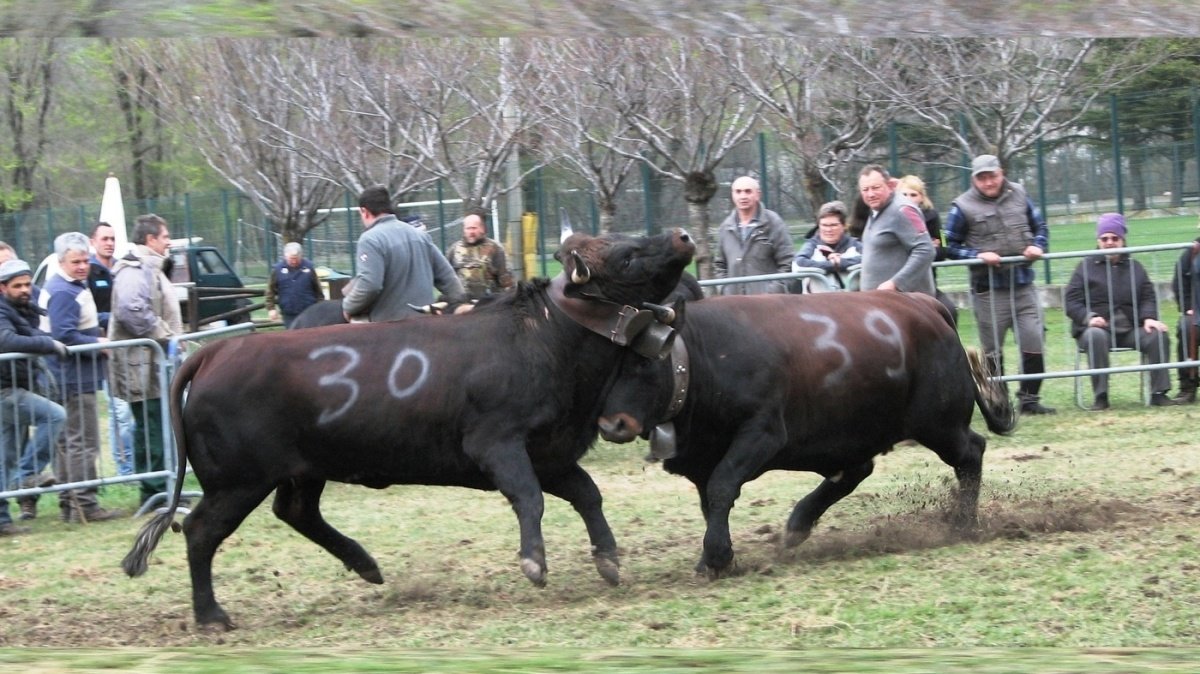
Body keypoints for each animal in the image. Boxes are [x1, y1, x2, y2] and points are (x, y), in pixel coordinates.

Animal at [121, 228, 695, 630]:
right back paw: (211, 615)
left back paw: (365, 564)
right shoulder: (497, 445)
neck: (544, 337)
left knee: (296, 511)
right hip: (237, 481)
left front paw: (609, 559)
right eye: (625, 256)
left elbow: (587, 494)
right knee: (201, 531)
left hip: (302, 469)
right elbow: (530, 499)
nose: (683, 237)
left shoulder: (550, 453)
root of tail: (217, 351)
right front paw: (534, 562)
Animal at [596, 291, 1016, 577]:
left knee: (971, 452)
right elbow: (711, 499)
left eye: (644, 363)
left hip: (939, 423)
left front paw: (715, 557)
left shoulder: (762, 434)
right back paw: (799, 523)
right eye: (612, 364)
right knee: (854, 472)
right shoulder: (704, 456)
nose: (611, 424)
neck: (705, 357)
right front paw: (719, 556)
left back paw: (962, 522)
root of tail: (924, 304)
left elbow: (721, 488)